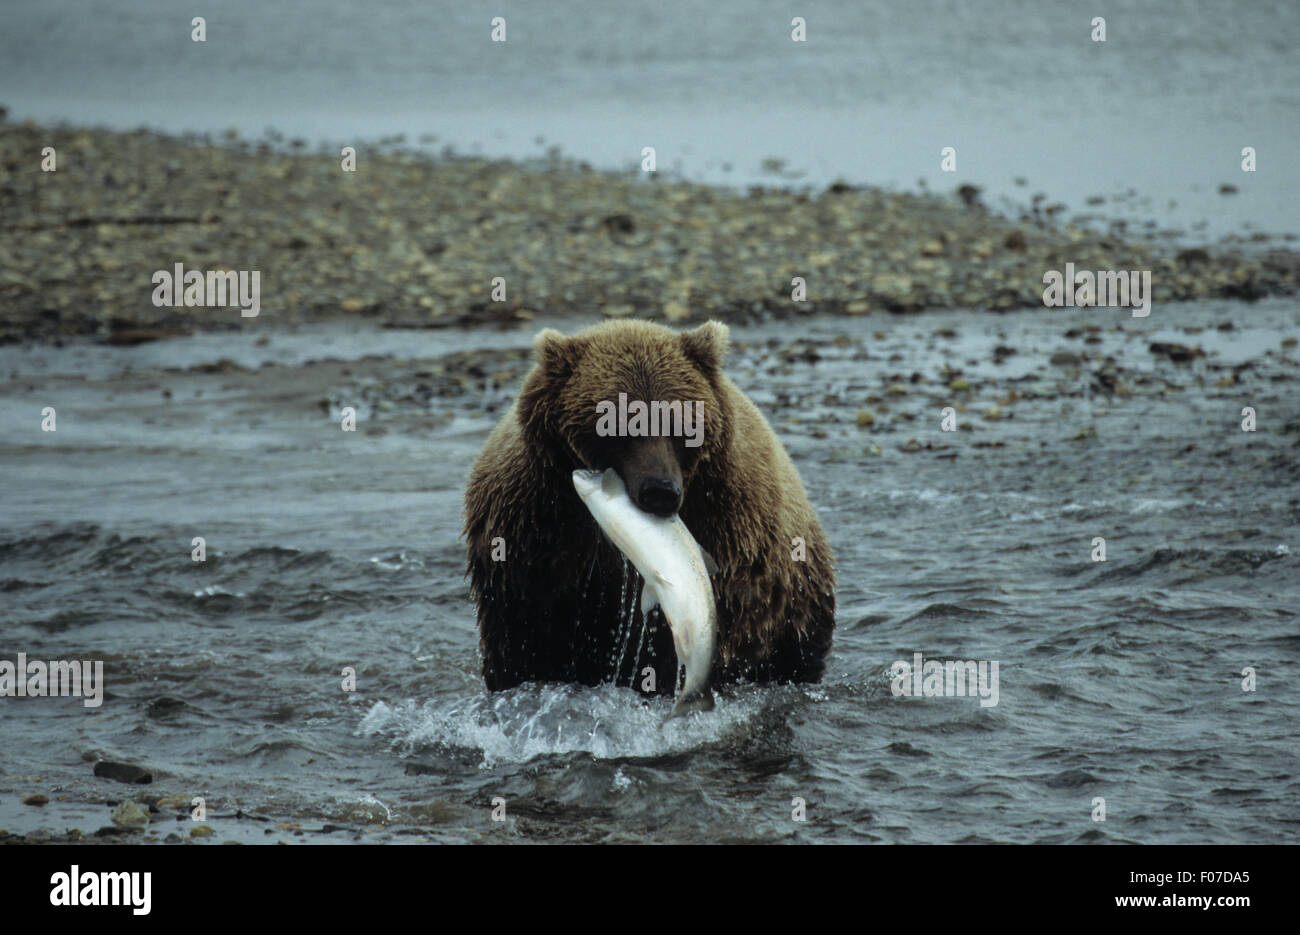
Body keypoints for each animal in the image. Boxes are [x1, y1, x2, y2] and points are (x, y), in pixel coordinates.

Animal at [463, 319, 835, 697]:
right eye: (616, 425)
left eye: (682, 423)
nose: (661, 490)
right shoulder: (534, 527)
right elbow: (528, 635)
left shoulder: (727, 519)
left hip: (797, 601)